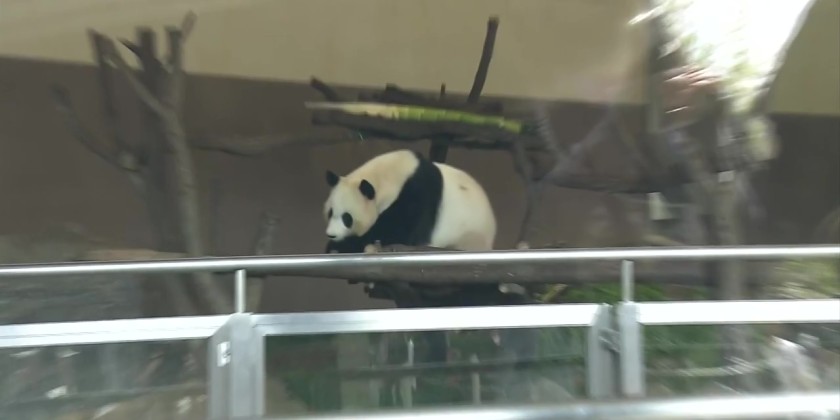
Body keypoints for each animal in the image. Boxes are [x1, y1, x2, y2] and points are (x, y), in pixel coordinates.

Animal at [323, 149, 497, 254]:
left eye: (347, 218)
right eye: (330, 212)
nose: (331, 235)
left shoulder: (416, 197)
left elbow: (399, 234)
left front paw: (343, 244)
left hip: (469, 235)